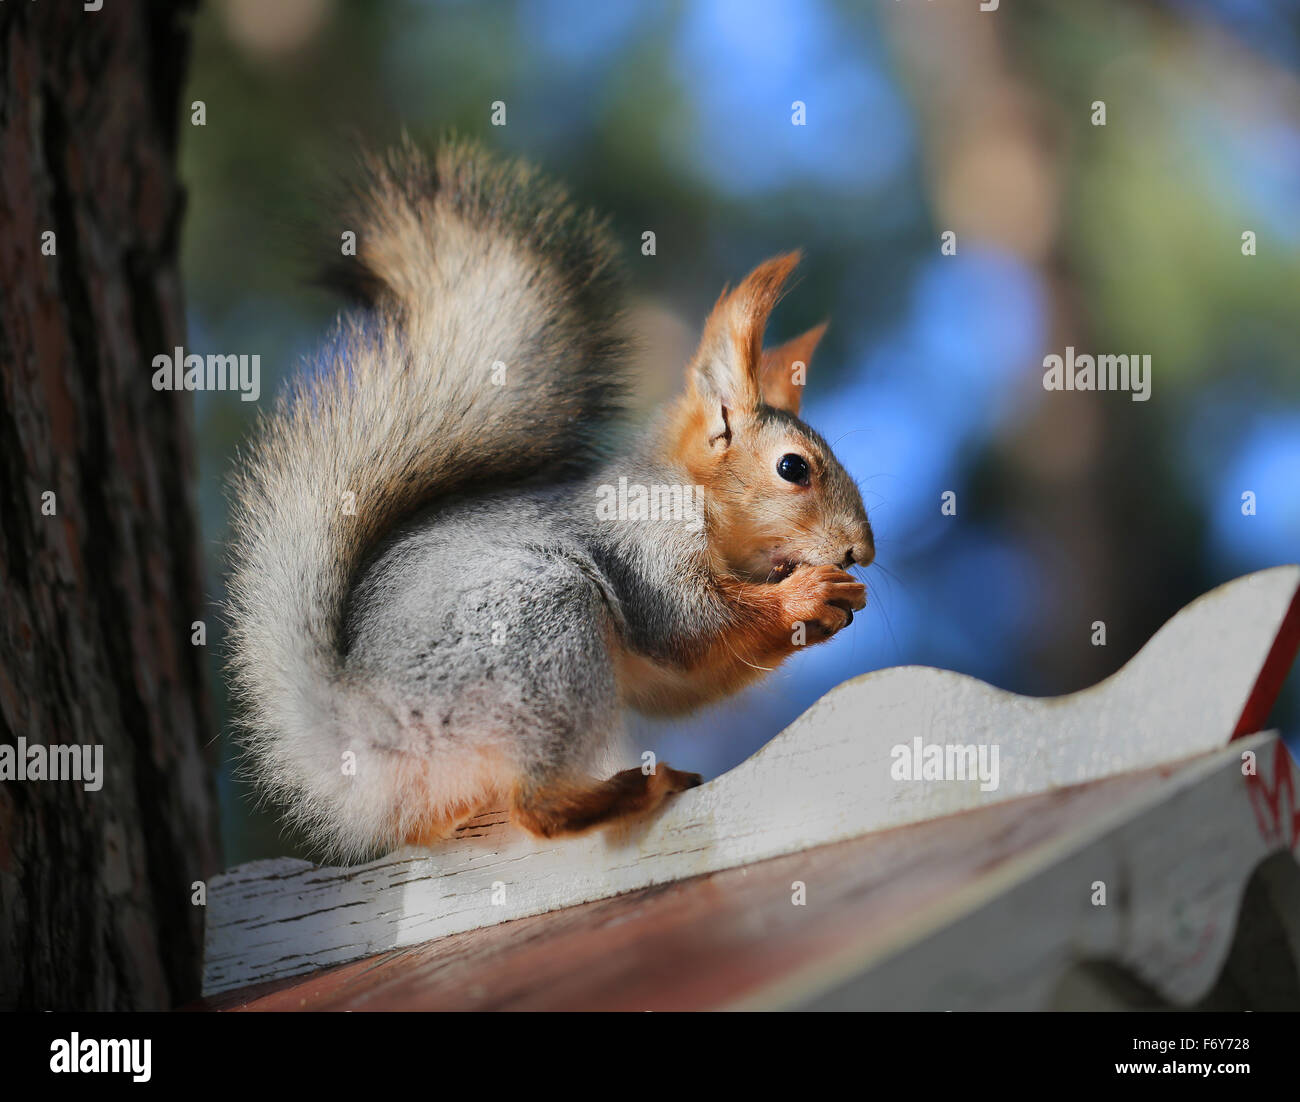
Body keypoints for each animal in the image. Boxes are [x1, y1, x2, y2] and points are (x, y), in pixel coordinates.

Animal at [227, 137, 874, 861]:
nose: (862, 551)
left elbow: (685, 681)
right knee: (538, 808)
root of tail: (360, 737)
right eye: (793, 468)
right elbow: (689, 626)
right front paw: (808, 596)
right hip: (537, 626)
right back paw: (629, 790)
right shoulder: (644, 541)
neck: (691, 496)